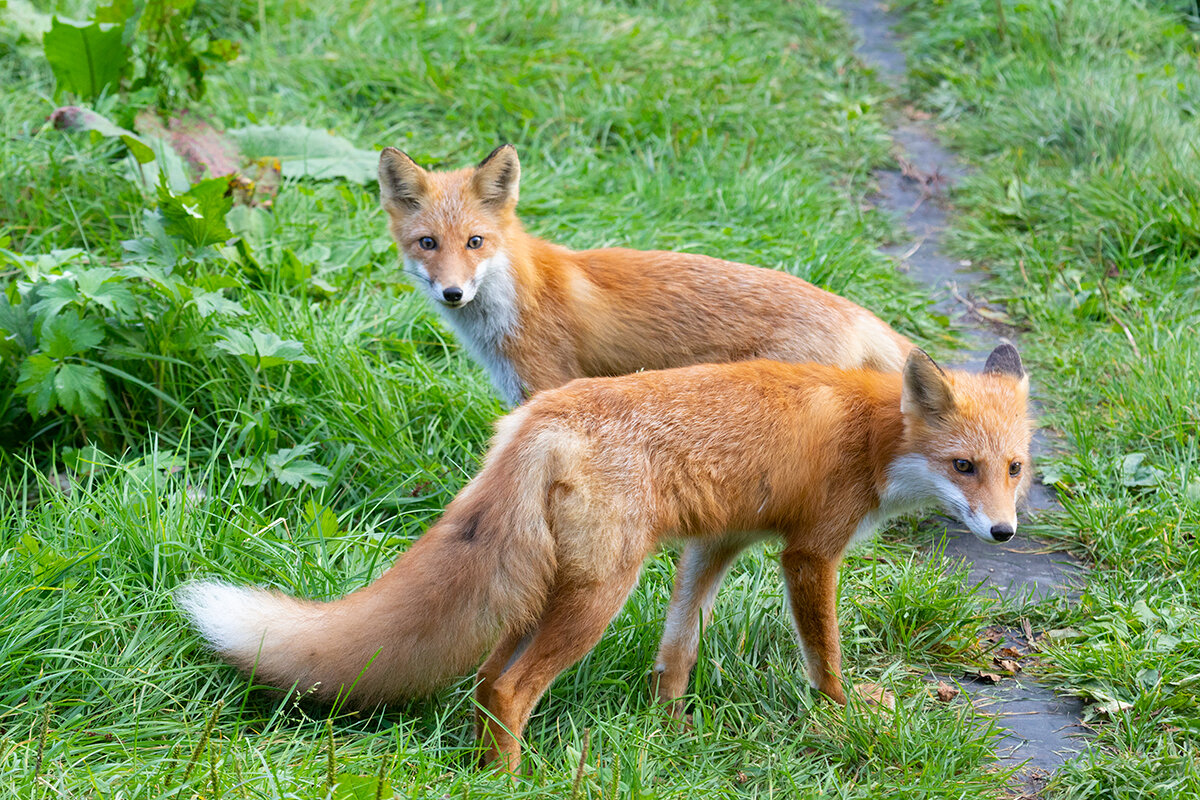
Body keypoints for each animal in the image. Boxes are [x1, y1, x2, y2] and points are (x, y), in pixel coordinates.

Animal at [175, 343, 1032, 767]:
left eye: (1015, 469)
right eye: (964, 466)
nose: (1003, 534)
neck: (873, 436)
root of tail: (534, 419)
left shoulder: (713, 543)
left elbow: (678, 648)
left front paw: (672, 728)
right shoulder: (811, 555)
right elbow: (823, 655)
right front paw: (842, 713)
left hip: (546, 591)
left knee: (485, 683)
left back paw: (487, 766)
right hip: (598, 595)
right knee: (509, 689)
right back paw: (516, 782)